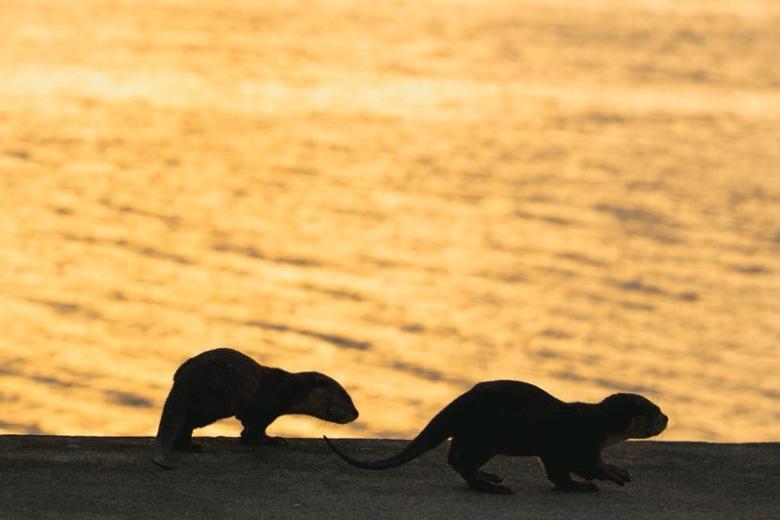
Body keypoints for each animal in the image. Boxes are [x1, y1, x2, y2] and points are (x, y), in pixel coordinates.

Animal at [153, 347, 358, 469]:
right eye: (347, 399)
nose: (356, 414)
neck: (288, 389)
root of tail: (185, 379)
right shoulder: (267, 408)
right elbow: (258, 429)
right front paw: (274, 440)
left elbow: (247, 427)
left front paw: (249, 438)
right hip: (215, 402)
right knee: (188, 423)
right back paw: (191, 445)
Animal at [324, 380, 667, 493]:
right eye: (656, 412)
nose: (667, 418)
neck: (597, 423)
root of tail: (460, 403)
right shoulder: (579, 443)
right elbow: (585, 467)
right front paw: (614, 473)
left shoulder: (554, 451)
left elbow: (557, 473)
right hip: (484, 437)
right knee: (460, 461)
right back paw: (489, 486)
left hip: (473, 435)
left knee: (455, 458)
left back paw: (488, 477)